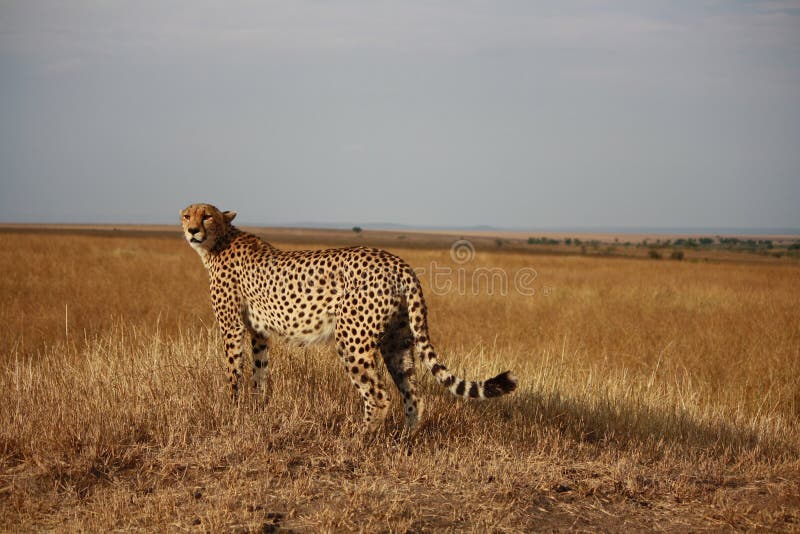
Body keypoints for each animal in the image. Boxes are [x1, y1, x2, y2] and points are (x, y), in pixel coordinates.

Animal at [180, 203, 517, 432]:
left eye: (206, 215)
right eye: (186, 215)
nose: (192, 230)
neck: (219, 241)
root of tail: (398, 262)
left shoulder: (231, 328)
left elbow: (232, 371)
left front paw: (231, 411)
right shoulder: (259, 333)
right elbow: (259, 373)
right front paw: (258, 409)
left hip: (352, 339)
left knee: (379, 396)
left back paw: (357, 438)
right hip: (397, 340)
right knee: (413, 393)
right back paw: (406, 439)